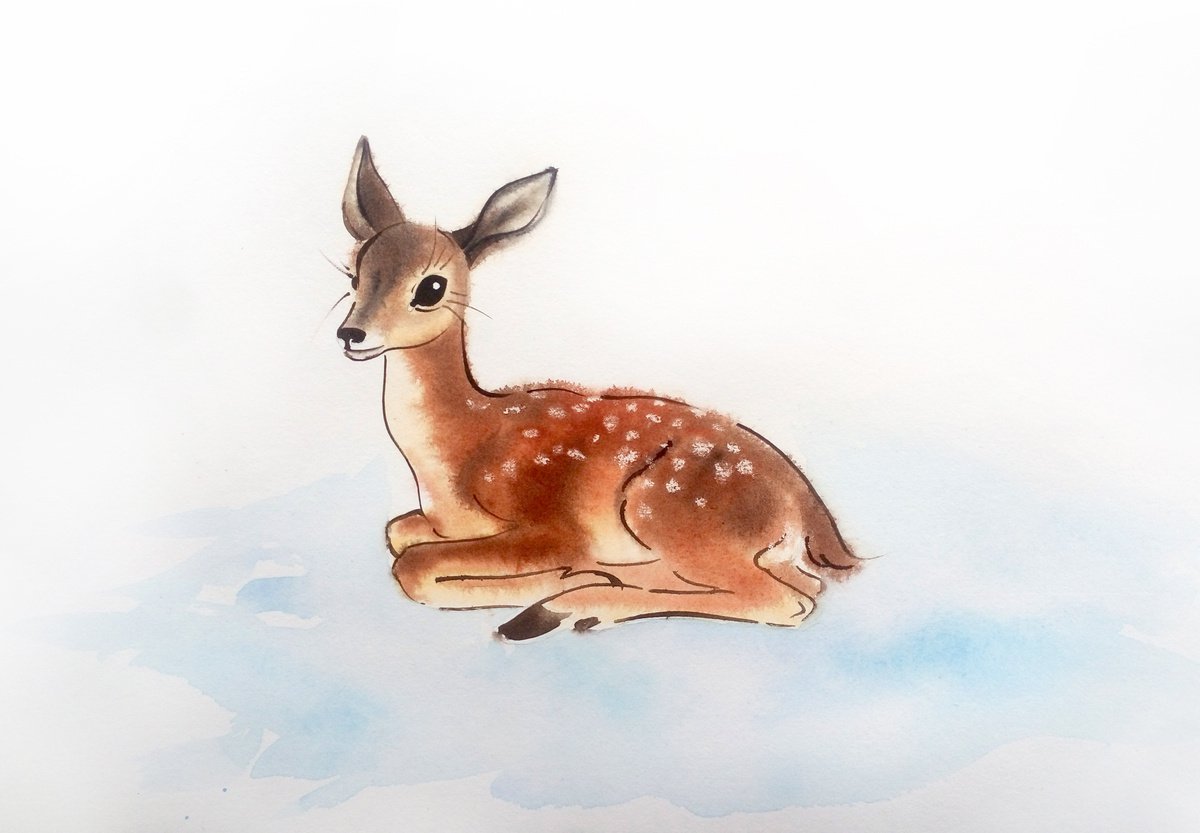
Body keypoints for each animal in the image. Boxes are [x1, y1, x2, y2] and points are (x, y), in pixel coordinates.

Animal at [334, 137, 861, 640]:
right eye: (354, 275)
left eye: (431, 287)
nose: (350, 334)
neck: (463, 446)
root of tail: (810, 511)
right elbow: (398, 532)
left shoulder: (551, 527)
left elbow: (414, 567)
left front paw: (555, 580)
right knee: (801, 586)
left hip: (667, 511)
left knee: (789, 602)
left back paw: (564, 608)